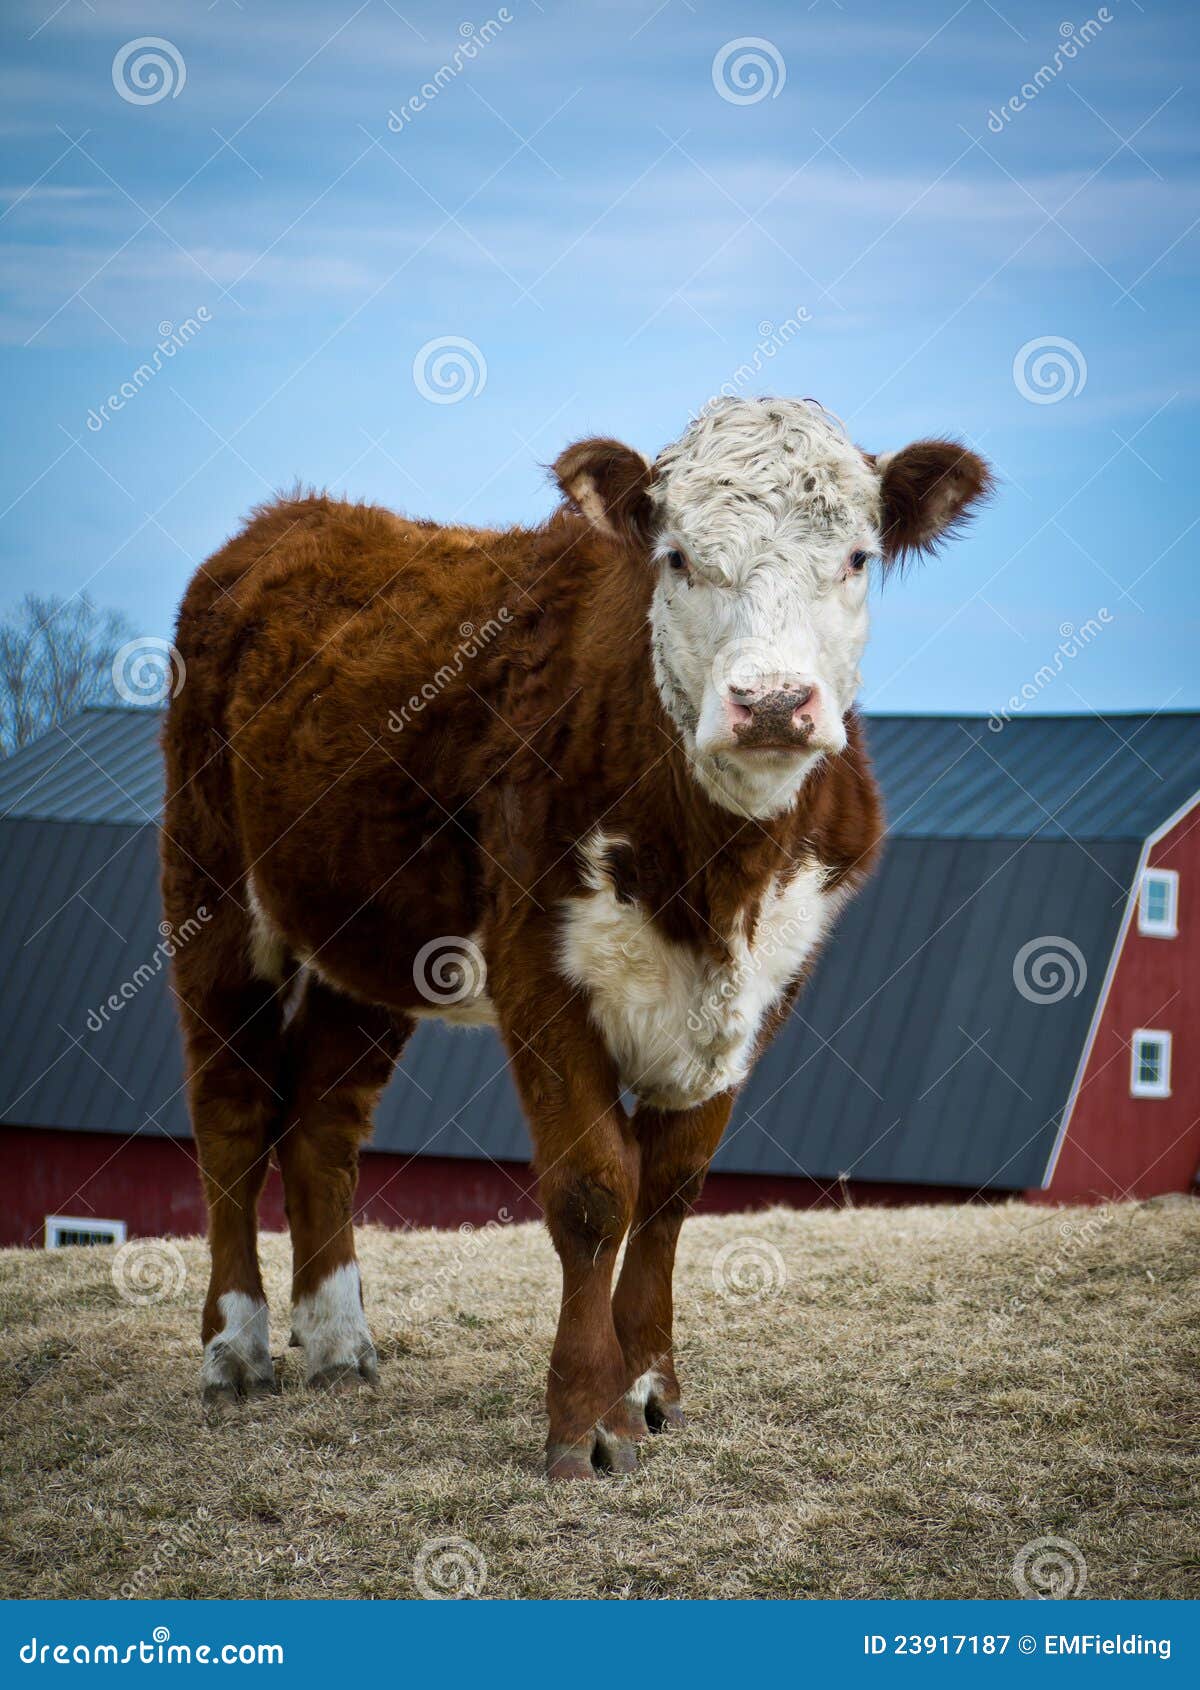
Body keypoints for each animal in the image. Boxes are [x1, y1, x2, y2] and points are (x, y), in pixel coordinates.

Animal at [161, 396, 990, 1480]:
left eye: (856, 556)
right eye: (677, 556)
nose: (771, 703)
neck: (714, 880)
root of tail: (295, 516)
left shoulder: (770, 982)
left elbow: (673, 1183)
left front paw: (649, 1389)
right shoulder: (538, 969)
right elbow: (597, 1187)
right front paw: (584, 1420)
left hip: (368, 939)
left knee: (322, 1123)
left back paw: (339, 1344)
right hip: (212, 890)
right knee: (231, 1112)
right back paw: (234, 1350)